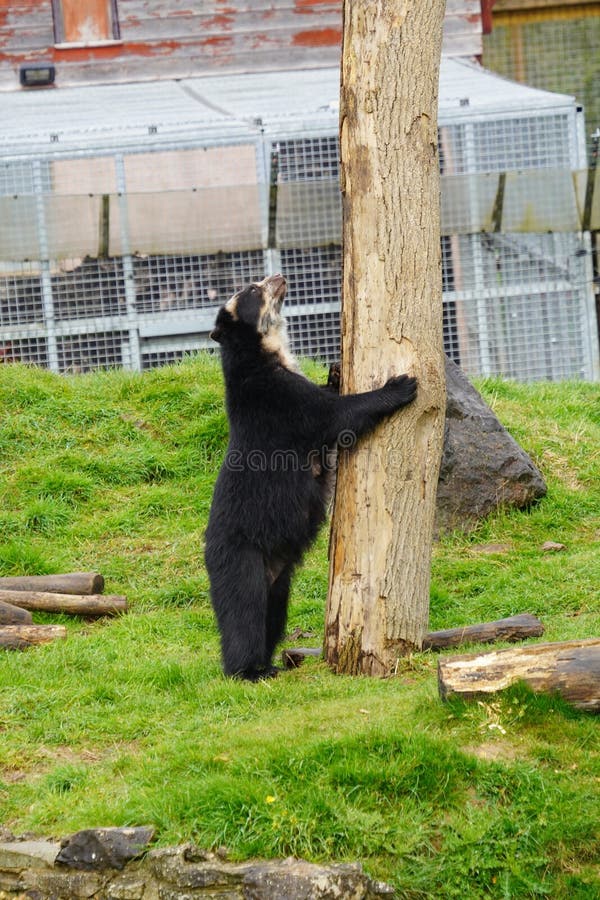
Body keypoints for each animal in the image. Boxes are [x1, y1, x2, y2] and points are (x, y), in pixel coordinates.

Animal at [204, 273, 417, 681]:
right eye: (253, 290)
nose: (278, 276)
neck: (263, 357)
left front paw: (335, 371)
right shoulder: (280, 401)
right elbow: (333, 416)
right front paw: (401, 385)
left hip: (279, 580)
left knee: (272, 614)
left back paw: (270, 662)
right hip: (240, 558)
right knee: (243, 611)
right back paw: (250, 670)